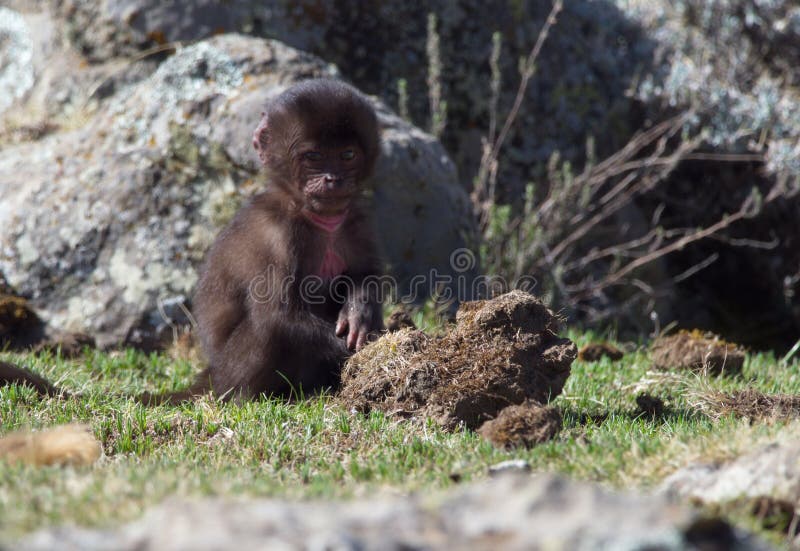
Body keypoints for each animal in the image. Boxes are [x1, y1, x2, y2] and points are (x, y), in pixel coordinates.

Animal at [0, 79, 384, 404]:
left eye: (347, 155)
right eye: (313, 157)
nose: (332, 179)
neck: (310, 214)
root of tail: (213, 375)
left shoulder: (358, 221)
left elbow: (365, 276)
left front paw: (360, 311)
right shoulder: (276, 234)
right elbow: (278, 316)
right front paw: (364, 347)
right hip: (232, 372)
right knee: (266, 328)